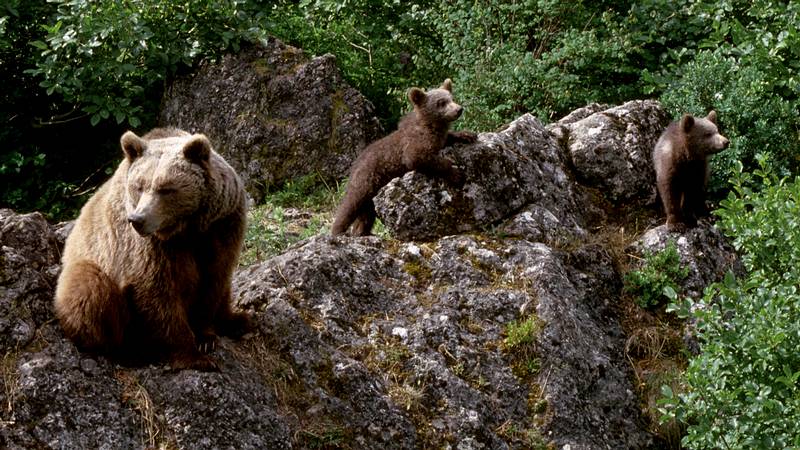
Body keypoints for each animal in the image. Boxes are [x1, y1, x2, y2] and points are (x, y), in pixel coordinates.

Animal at [54, 128, 251, 371]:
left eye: (166, 188)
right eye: (139, 186)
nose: (137, 219)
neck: (188, 228)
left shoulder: (222, 226)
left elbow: (214, 279)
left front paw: (206, 337)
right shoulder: (149, 248)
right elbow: (157, 291)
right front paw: (194, 356)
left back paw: (237, 320)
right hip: (92, 267)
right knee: (89, 289)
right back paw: (125, 352)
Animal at [331, 78, 477, 236]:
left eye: (451, 98)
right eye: (441, 102)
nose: (459, 109)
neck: (431, 126)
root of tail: (354, 165)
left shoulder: (437, 138)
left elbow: (447, 138)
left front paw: (467, 135)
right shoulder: (415, 144)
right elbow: (419, 157)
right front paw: (456, 173)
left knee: (367, 214)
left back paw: (362, 232)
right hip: (366, 179)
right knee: (350, 205)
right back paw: (338, 231)